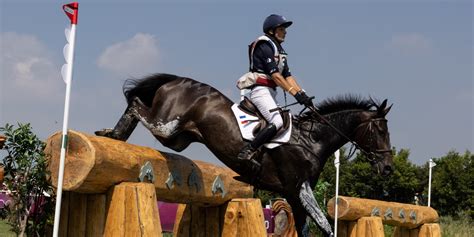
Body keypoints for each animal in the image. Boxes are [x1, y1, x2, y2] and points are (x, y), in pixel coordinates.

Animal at [95, 73, 392, 236]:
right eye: (379, 130)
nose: (387, 168)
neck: (311, 140)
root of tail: (178, 81)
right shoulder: (300, 189)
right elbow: (325, 226)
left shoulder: (293, 195)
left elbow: (307, 228)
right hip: (167, 126)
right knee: (136, 104)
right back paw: (113, 133)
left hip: (179, 139)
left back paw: (113, 134)